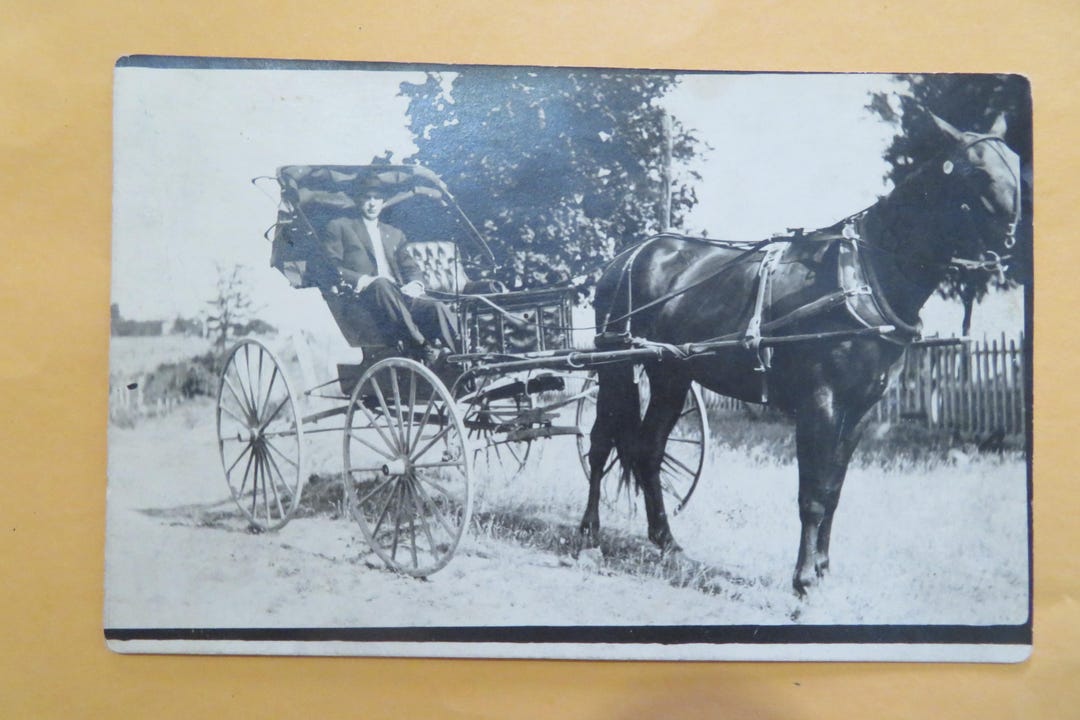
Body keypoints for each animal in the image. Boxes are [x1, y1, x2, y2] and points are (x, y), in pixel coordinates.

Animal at [582, 113, 1022, 595]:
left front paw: (824, 567)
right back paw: (590, 533)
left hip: (670, 375)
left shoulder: (860, 408)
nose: (1011, 238)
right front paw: (805, 578)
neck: (865, 276)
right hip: (616, 367)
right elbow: (812, 493)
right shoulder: (820, 402)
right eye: (976, 170)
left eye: (1016, 164)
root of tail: (629, 254)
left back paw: (666, 541)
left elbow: (833, 489)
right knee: (601, 443)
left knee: (649, 448)